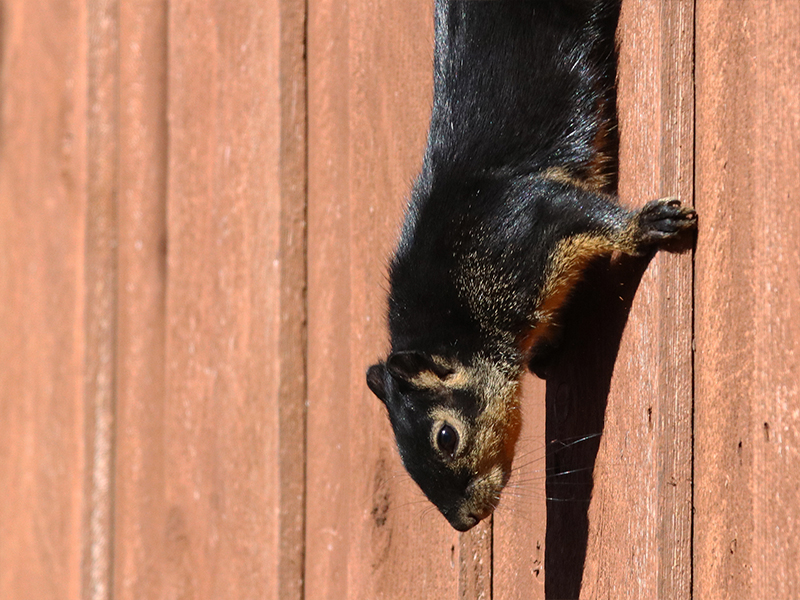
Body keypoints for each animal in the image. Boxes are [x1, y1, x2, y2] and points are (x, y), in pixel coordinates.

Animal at [366, 0, 696, 532]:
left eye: (445, 437)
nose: (464, 522)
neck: (458, 309)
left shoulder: (522, 219)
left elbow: (584, 211)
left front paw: (648, 223)